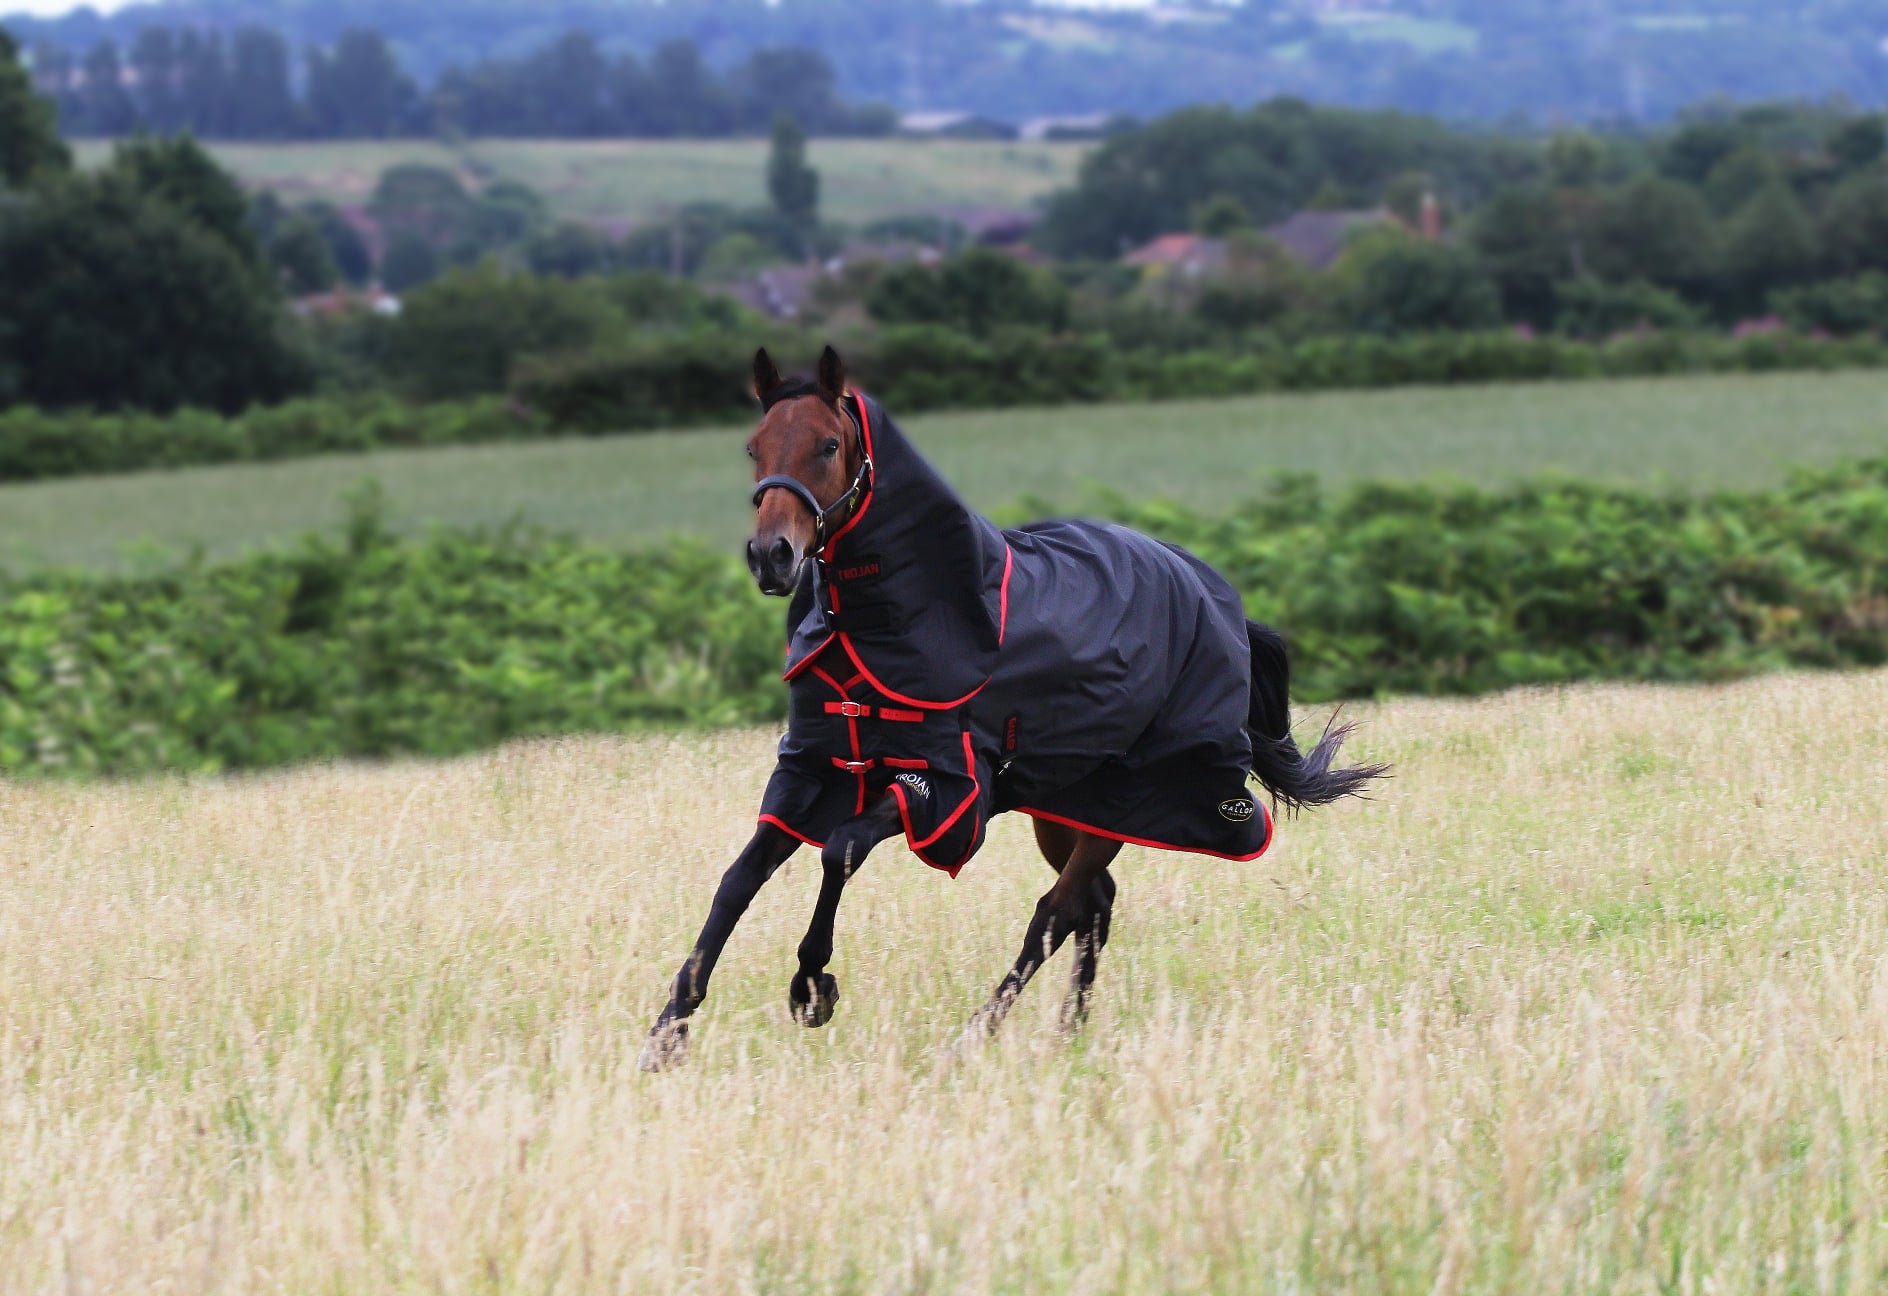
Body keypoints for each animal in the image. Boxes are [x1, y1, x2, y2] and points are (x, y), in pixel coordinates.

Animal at [639, 346, 1385, 1070]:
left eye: (827, 445)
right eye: (754, 446)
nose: (772, 556)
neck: (897, 626)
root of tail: (1210, 594)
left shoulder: (943, 787)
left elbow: (842, 849)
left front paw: (811, 986)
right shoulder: (814, 770)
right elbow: (738, 880)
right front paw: (669, 1029)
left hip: (1122, 802)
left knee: (1056, 912)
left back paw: (975, 1037)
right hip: (1064, 807)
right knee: (1093, 905)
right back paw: (1067, 1033)